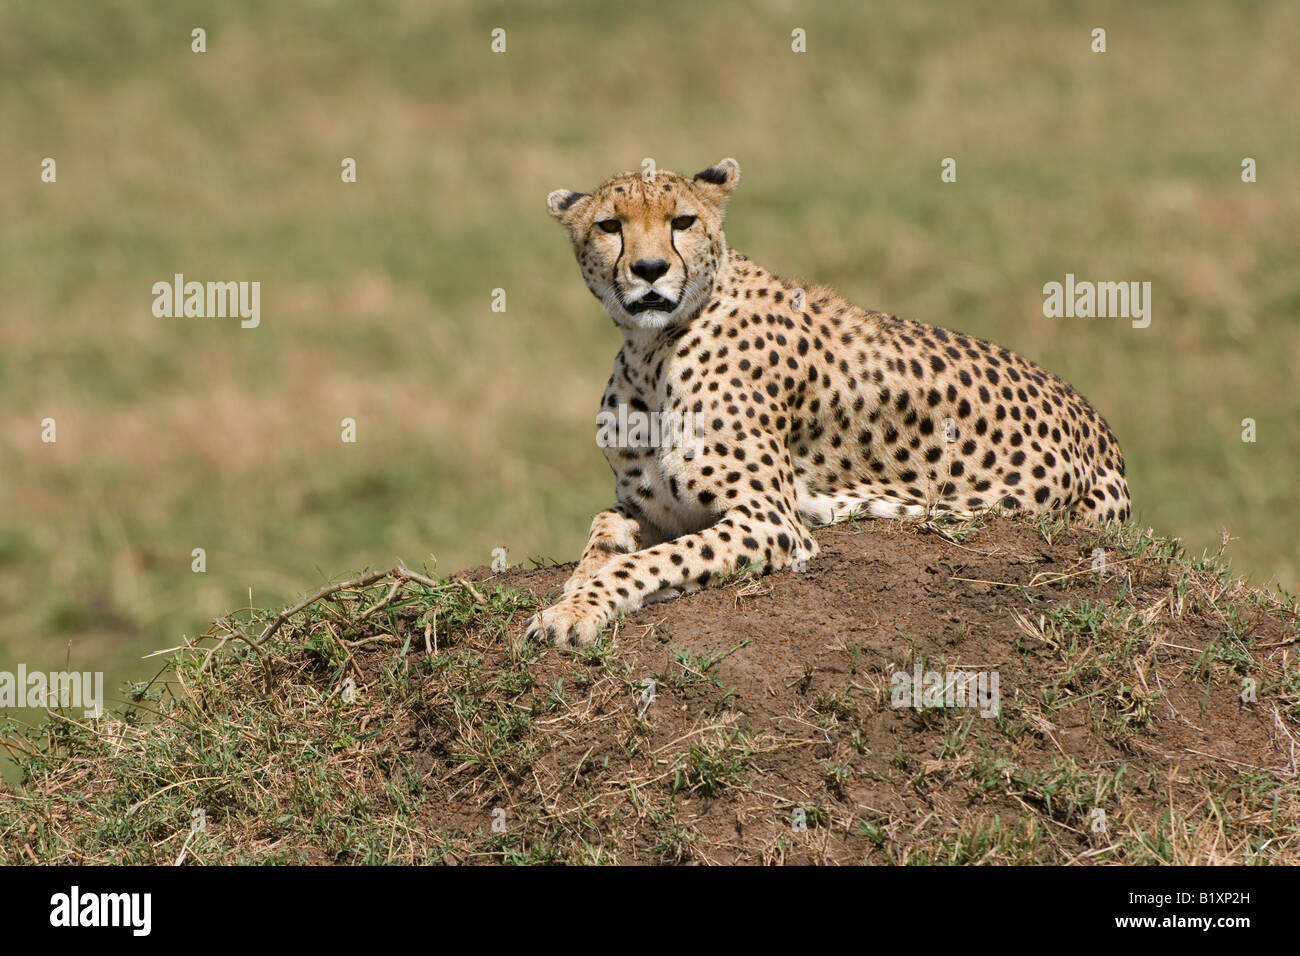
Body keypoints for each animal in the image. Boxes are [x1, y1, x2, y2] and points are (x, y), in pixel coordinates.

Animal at [527, 158, 1130, 647]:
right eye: (610, 226)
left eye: (683, 222)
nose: (650, 270)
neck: (651, 350)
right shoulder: (652, 507)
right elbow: (604, 529)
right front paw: (577, 584)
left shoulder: (770, 521)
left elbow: (648, 563)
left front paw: (574, 611)